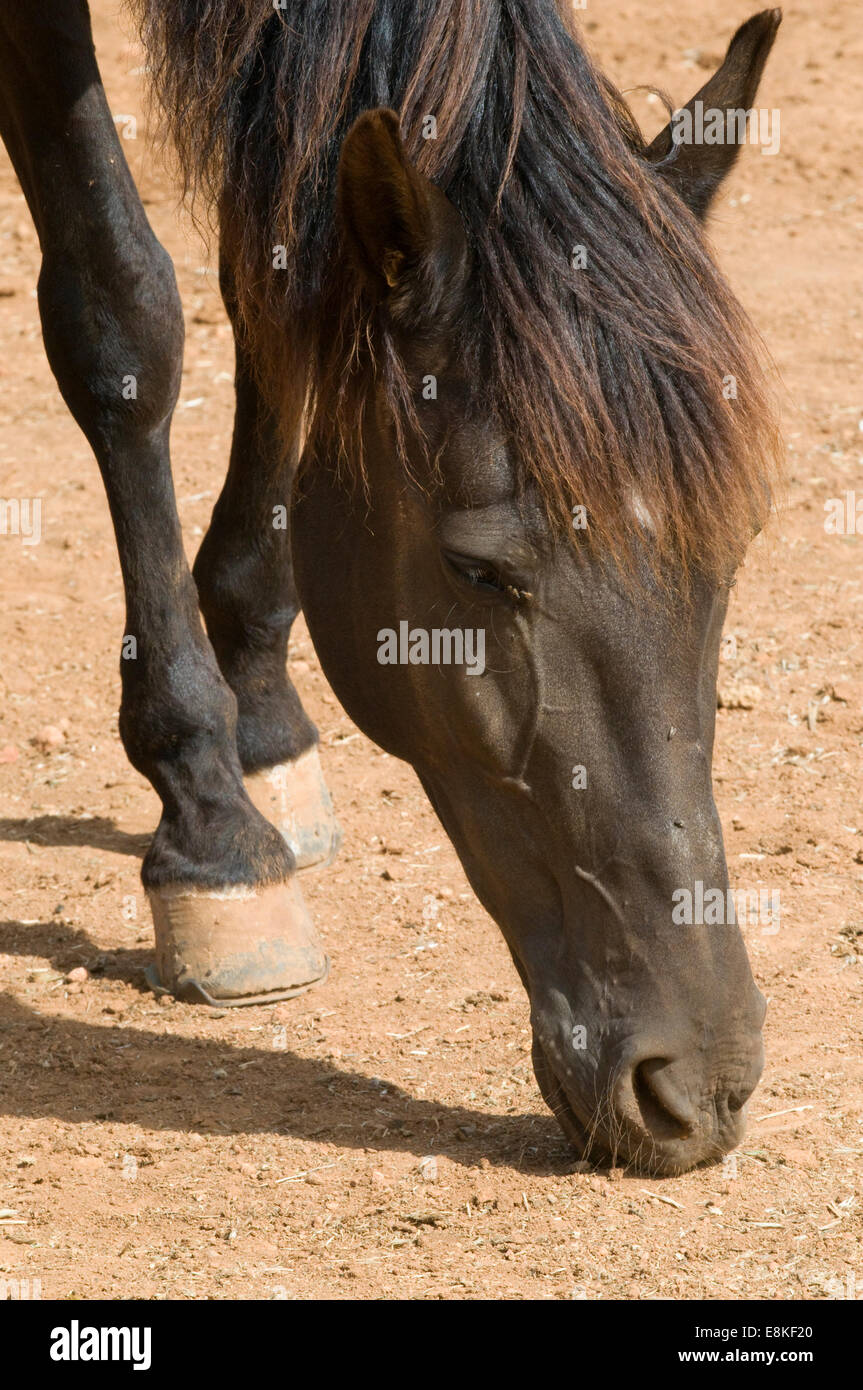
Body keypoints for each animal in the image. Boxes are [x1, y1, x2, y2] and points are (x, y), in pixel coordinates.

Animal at [0, 0, 783, 1174]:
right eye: (477, 570)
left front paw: (261, 720)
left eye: (730, 550)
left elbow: (273, 290)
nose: (697, 1084)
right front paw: (210, 824)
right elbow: (121, 309)